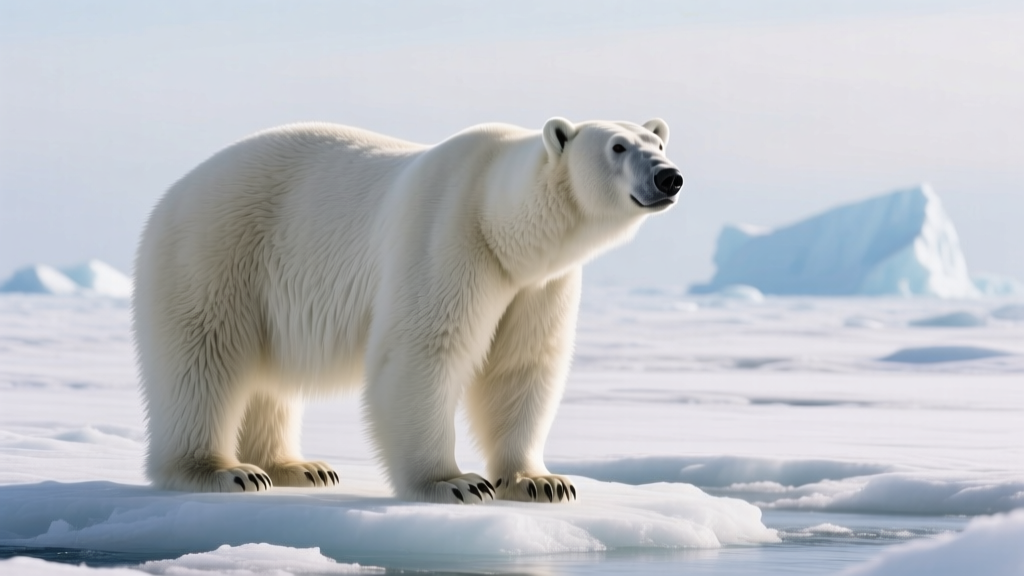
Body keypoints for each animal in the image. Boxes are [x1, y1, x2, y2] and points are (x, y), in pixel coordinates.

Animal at [133, 117, 682, 504]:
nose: (669, 177)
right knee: (204, 358)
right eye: (617, 147)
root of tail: (174, 191)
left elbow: (521, 366)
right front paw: (457, 483)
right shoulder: (449, 237)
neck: (499, 218)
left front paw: (542, 482)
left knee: (268, 379)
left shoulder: (537, 284)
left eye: (658, 144)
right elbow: (424, 354)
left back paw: (300, 467)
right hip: (215, 253)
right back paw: (224, 470)